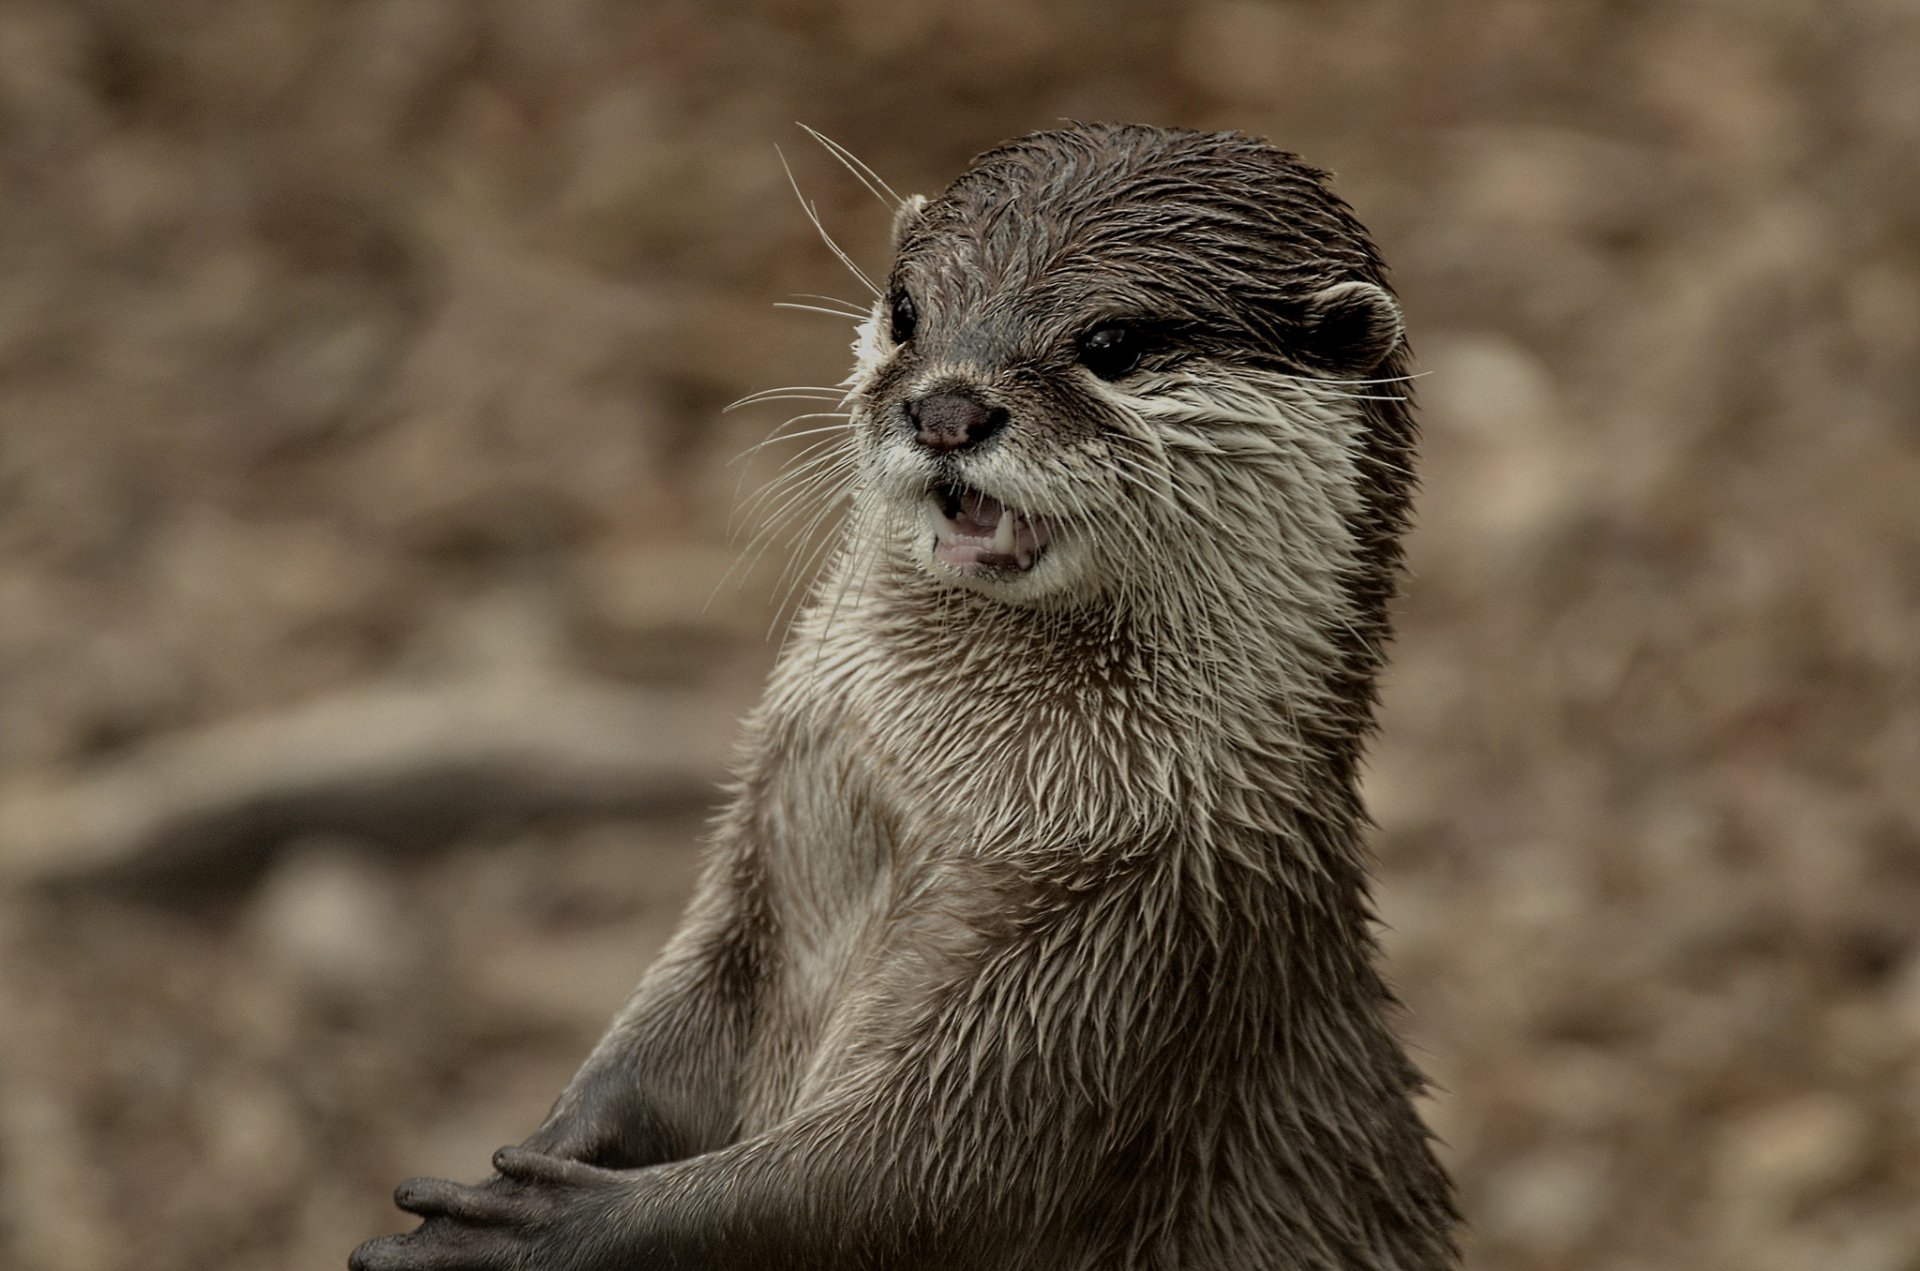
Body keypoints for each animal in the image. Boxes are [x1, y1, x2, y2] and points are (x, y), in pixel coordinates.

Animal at [350, 123, 1458, 1271]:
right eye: (910, 310)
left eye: (1112, 342)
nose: (947, 409)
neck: (935, 792)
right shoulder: (760, 856)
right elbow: (662, 1037)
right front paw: (535, 1150)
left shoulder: (1143, 953)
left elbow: (895, 1182)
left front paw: (543, 1227)